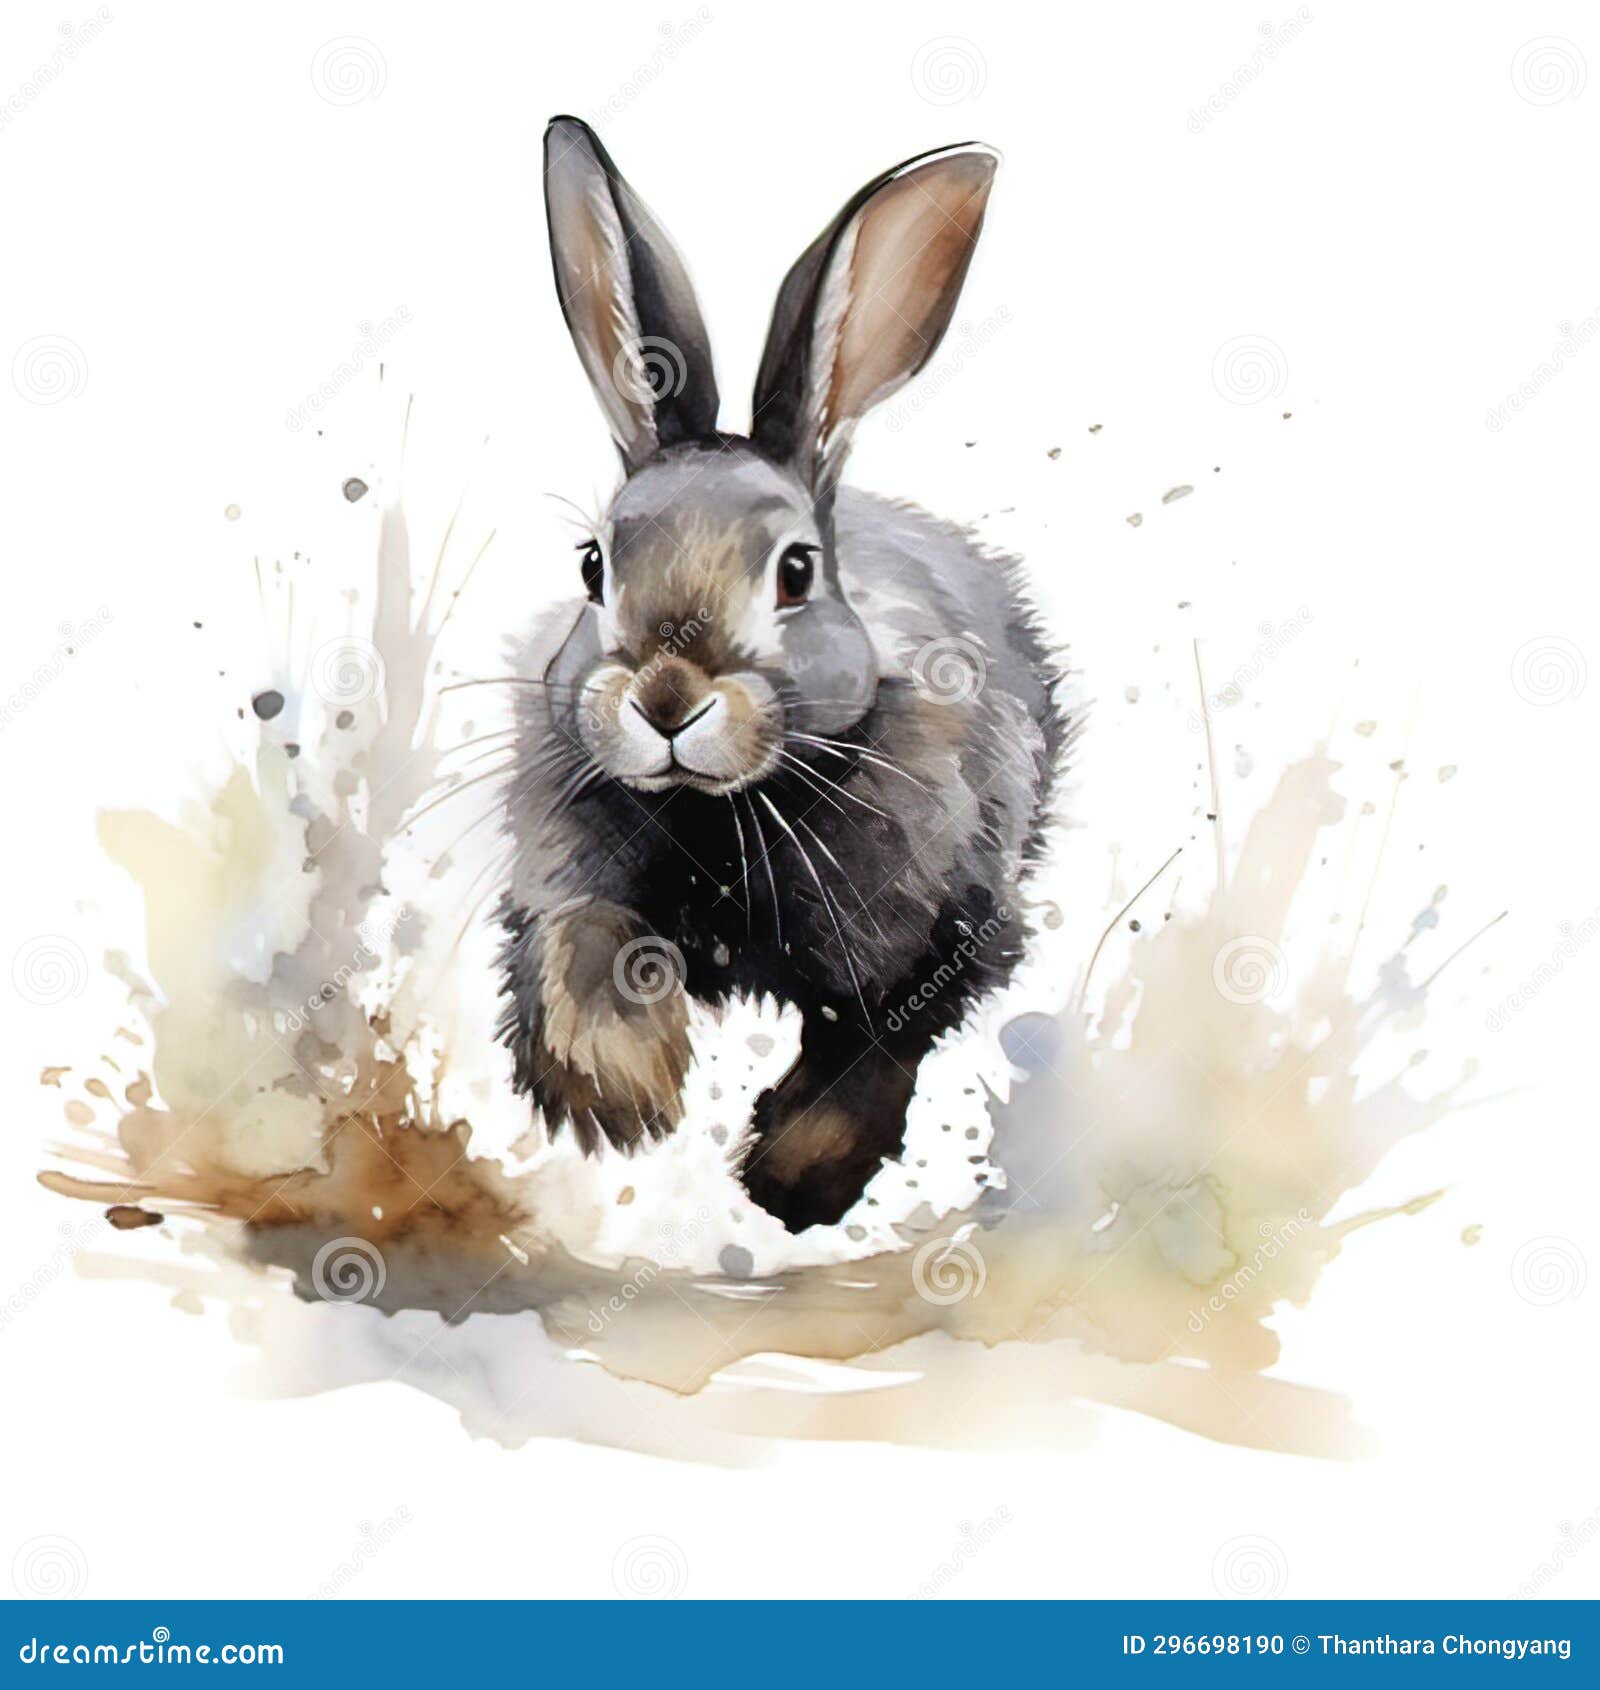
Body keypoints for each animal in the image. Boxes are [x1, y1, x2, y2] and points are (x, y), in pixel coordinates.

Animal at [496, 115, 1066, 1233]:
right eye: (593, 566)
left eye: (795, 571)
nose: (668, 700)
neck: (723, 813)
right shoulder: (563, 871)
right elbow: (585, 942)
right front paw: (622, 1093)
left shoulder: (939, 928)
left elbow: (876, 1042)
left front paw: (795, 1177)